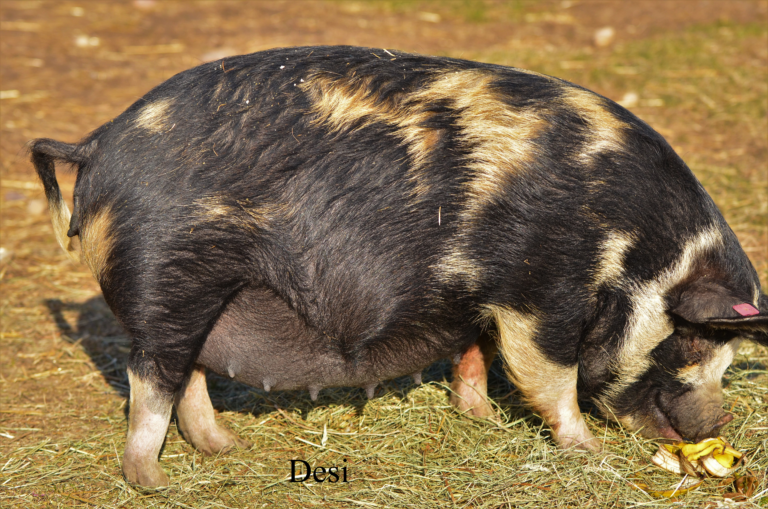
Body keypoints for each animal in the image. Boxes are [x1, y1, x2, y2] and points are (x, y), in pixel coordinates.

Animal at [30, 46, 768, 487]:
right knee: (151, 375)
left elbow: (475, 350)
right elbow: (546, 374)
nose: (721, 421)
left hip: (202, 296)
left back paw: (222, 448)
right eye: (690, 341)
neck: (631, 248)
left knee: (188, 373)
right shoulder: (543, 290)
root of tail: (97, 144)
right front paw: (589, 451)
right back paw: (154, 480)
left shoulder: (477, 295)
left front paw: (482, 418)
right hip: (170, 277)